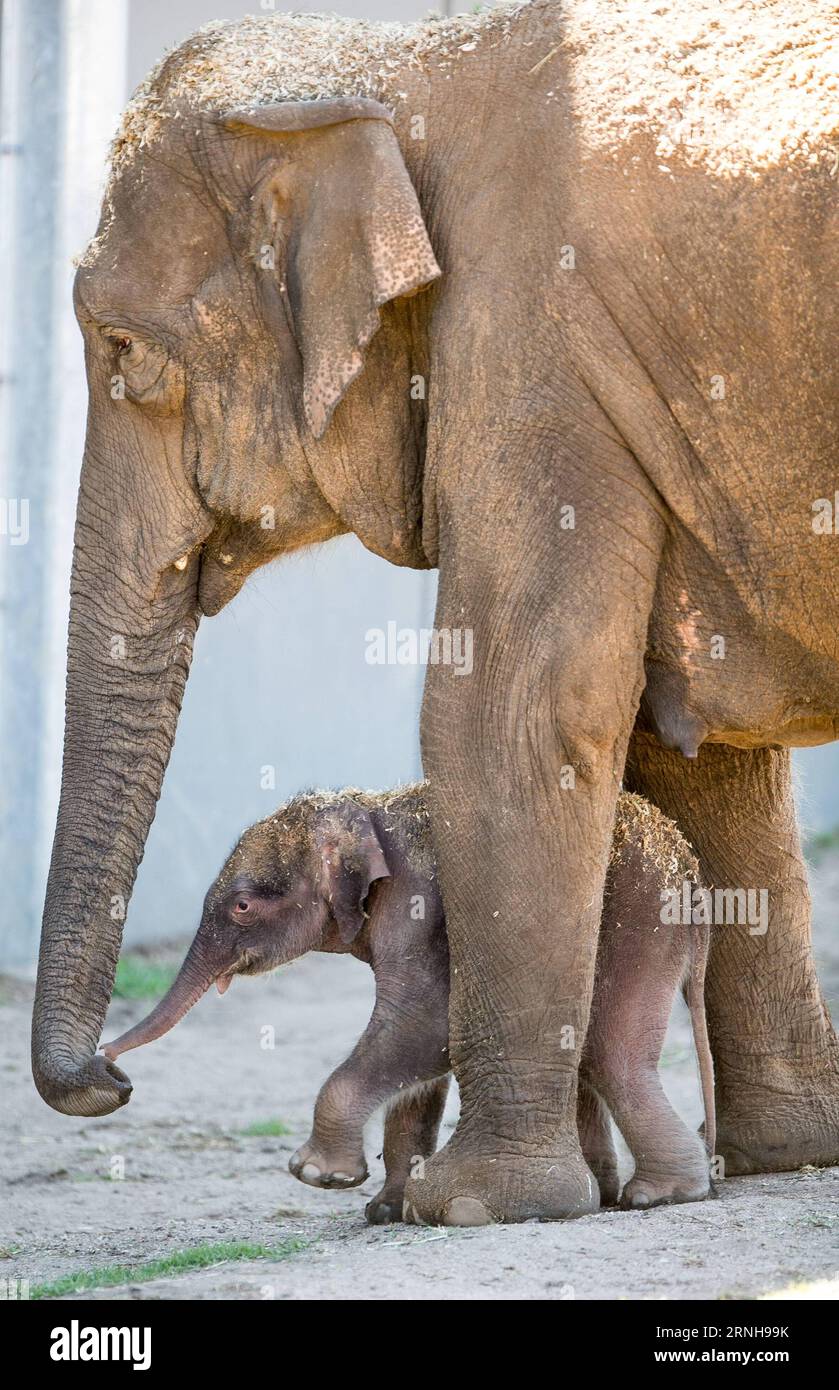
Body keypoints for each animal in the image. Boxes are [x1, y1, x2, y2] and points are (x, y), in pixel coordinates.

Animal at [102, 787, 715, 1221]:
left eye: (243, 906)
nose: (109, 1063)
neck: (368, 810)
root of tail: (691, 869)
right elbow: (419, 1063)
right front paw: (384, 1212)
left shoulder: (419, 906)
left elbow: (427, 1025)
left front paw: (318, 1175)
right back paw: (617, 1192)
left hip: (642, 920)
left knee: (612, 1053)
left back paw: (658, 1196)